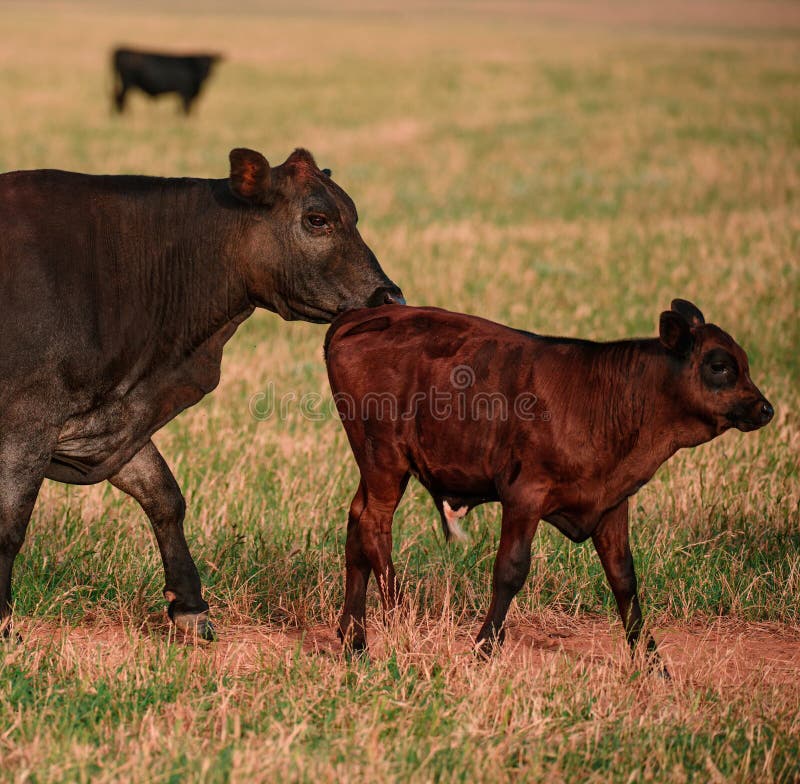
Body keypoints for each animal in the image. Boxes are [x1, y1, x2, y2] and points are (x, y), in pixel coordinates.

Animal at [0, 147, 403, 640]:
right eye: (317, 219)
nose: (390, 297)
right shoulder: (29, 416)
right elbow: (10, 524)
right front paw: (3, 622)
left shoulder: (110, 420)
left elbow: (164, 496)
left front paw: (190, 607)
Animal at [325, 301, 773, 673]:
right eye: (719, 366)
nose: (764, 408)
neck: (609, 399)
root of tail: (360, 316)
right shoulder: (524, 496)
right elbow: (510, 571)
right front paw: (484, 650)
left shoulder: (611, 502)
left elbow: (624, 579)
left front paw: (652, 663)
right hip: (385, 459)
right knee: (374, 528)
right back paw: (400, 622)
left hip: (374, 466)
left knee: (356, 524)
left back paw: (355, 640)